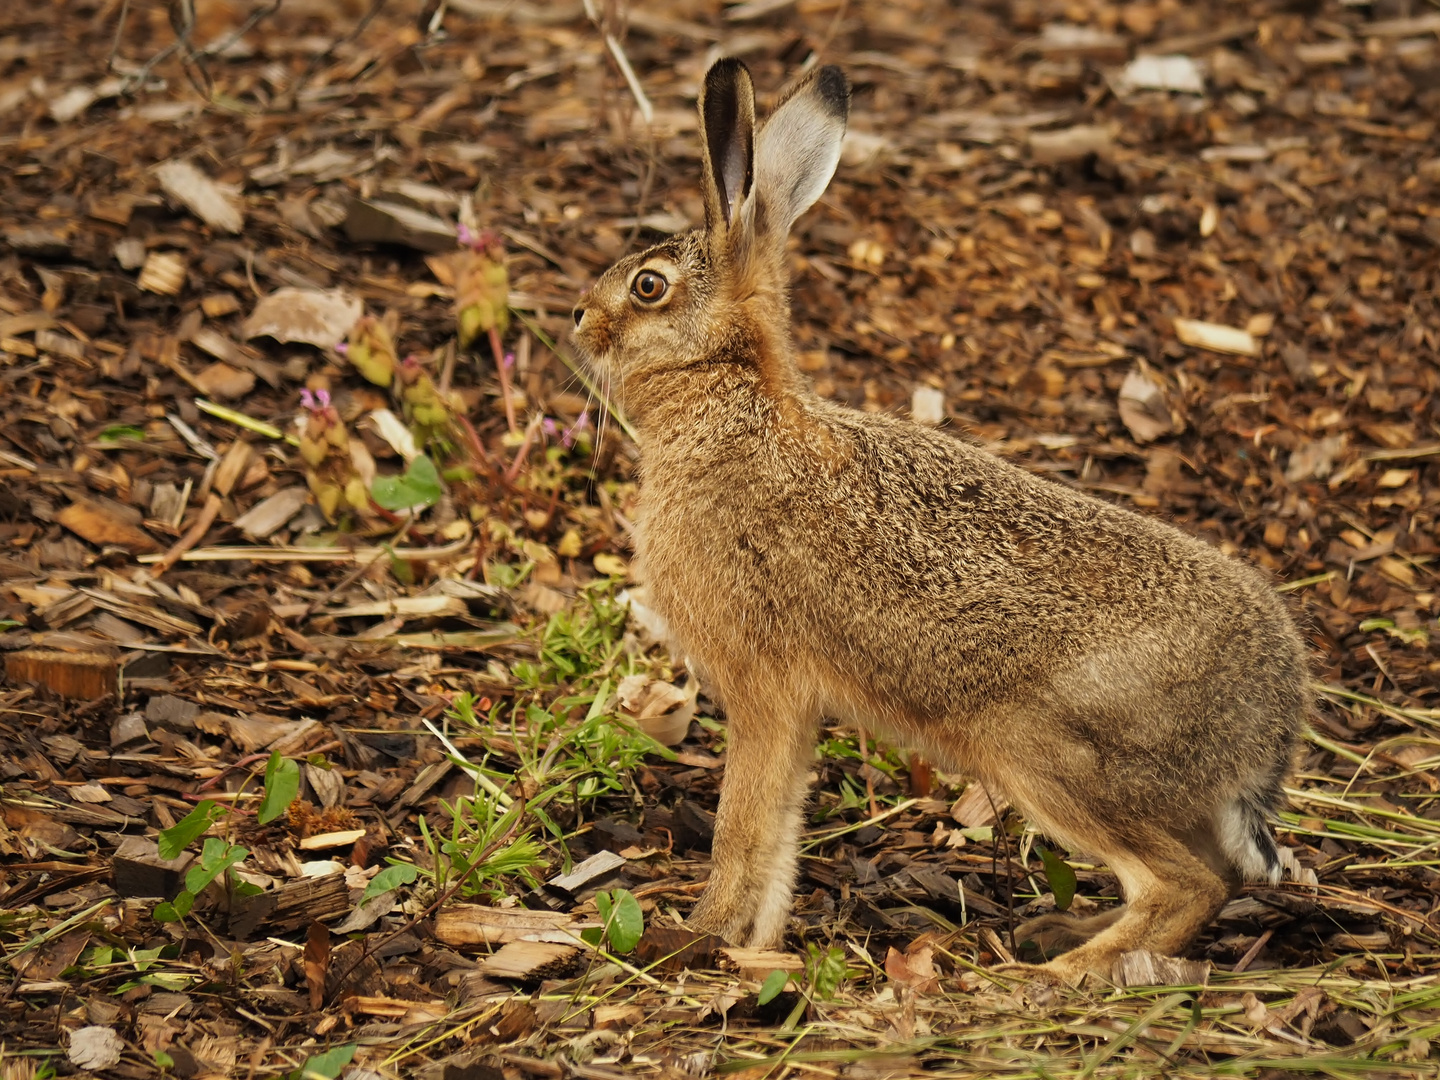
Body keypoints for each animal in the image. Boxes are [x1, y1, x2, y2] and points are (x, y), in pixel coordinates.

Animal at [571, 58, 1309, 986]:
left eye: (648, 287)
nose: (577, 318)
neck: (730, 399)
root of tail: (1269, 724)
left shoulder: (762, 682)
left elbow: (745, 821)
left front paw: (697, 935)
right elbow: (781, 831)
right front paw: (755, 946)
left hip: (1047, 755)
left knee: (1186, 886)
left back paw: (1058, 973)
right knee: (1206, 878)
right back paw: (1060, 938)